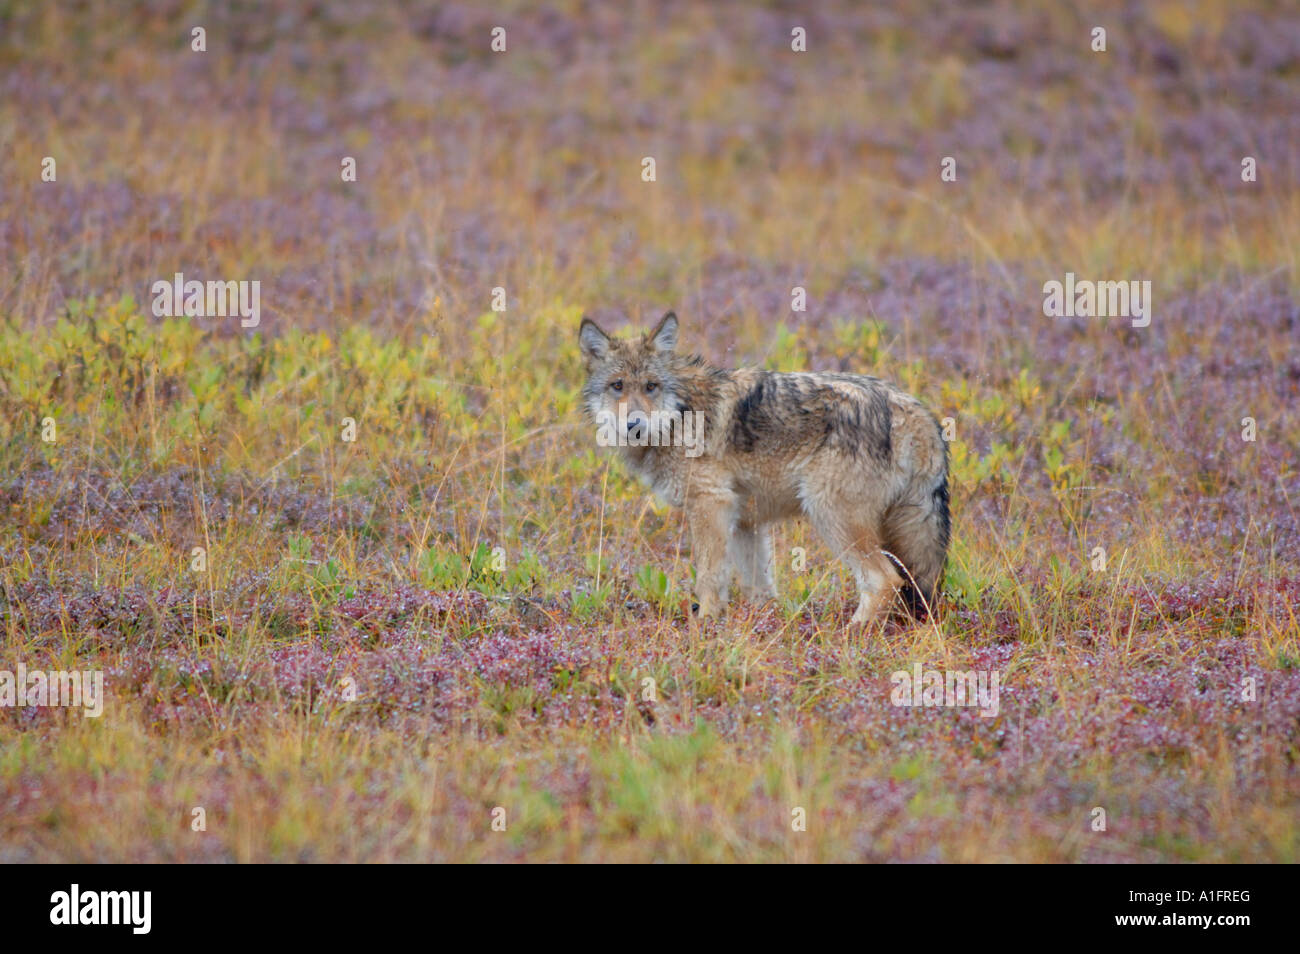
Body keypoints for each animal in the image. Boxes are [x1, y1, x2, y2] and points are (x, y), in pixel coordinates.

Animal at [579, 312, 950, 624]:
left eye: (651, 386)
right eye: (617, 386)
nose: (634, 425)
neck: (681, 414)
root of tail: (915, 411)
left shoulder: (711, 504)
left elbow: (710, 578)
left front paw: (704, 628)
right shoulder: (746, 522)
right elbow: (759, 590)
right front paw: (761, 625)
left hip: (830, 516)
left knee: (884, 580)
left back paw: (852, 633)